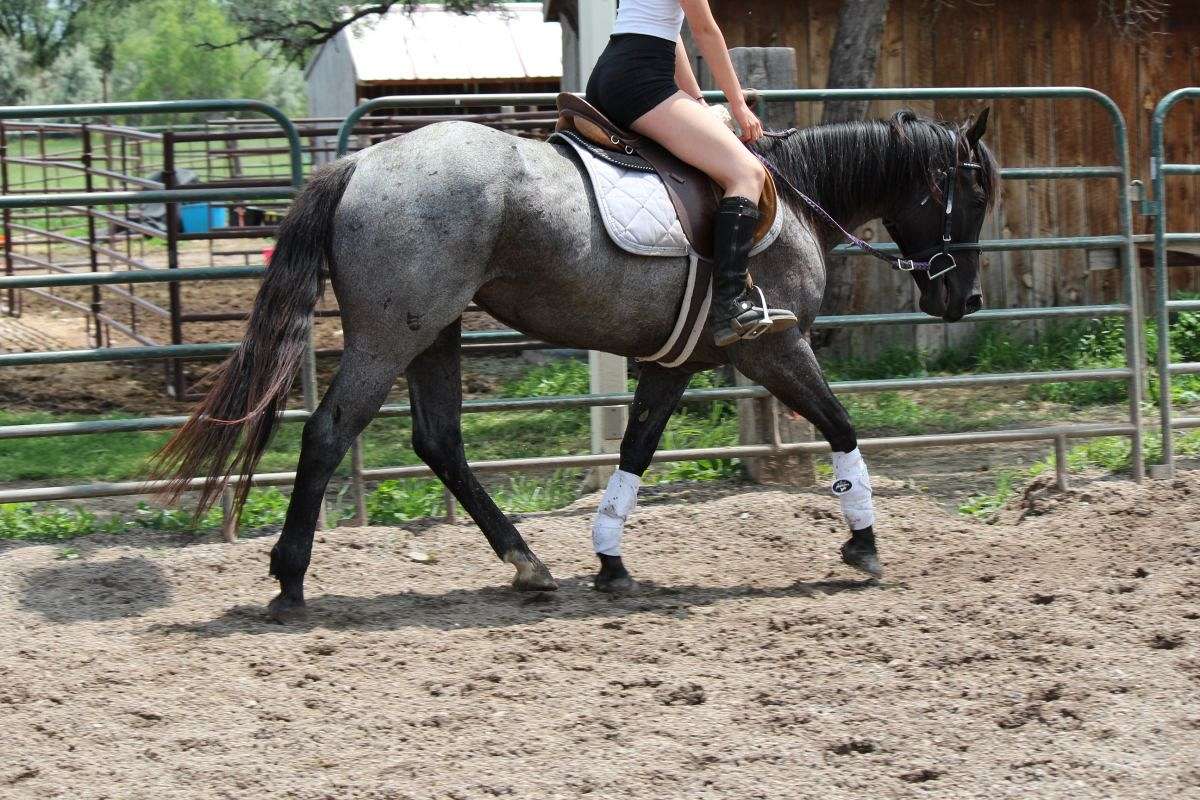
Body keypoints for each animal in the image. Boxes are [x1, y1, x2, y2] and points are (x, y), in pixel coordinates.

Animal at [153, 108, 998, 622]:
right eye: (974, 195)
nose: (965, 298)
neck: (789, 203)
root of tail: (361, 163)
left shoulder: (675, 363)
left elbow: (637, 449)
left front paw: (610, 559)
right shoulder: (773, 348)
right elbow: (842, 425)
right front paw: (865, 543)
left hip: (434, 333)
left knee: (439, 441)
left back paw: (527, 563)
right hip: (392, 334)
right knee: (330, 433)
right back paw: (291, 579)